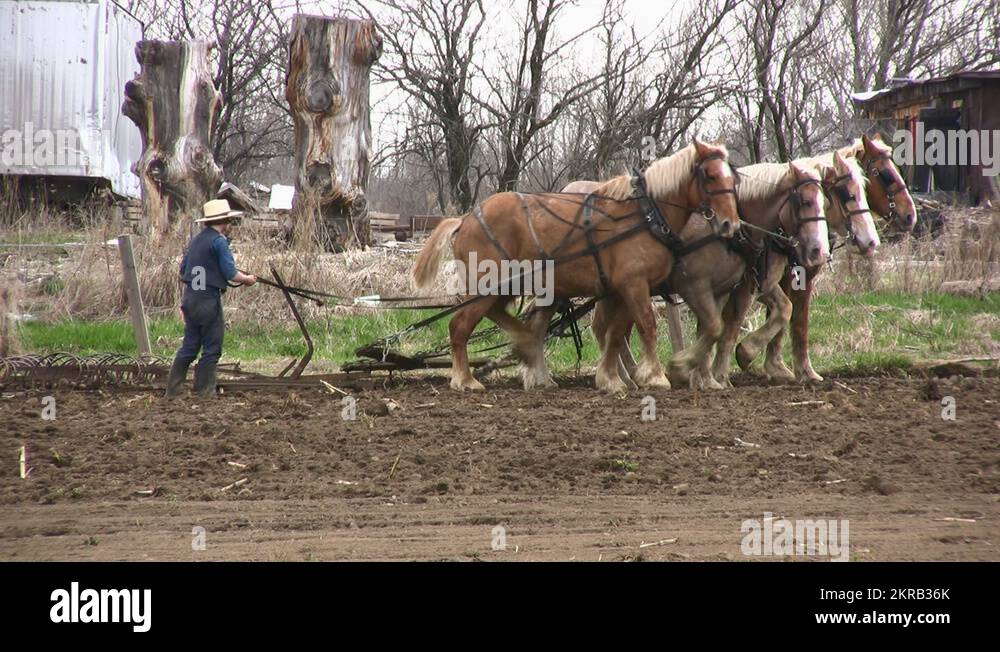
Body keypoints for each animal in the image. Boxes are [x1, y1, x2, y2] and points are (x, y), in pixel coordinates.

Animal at [411, 138, 741, 392]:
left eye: (732, 179)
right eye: (710, 176)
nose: (731, 224)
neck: (646, 215)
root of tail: (466, 218)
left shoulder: (621, 290)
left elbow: (615, 332)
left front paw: (610, 380)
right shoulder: (634, 284)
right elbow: (645, 326)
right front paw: (656, 376)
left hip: (508, 287)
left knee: (500, 316)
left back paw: (526, 346)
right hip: (487, 285)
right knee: (459, 326)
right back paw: (465, 379)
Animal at [590, 158, 832, 390]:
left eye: (825, 204)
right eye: (805, 202)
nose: (820, 251)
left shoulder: (739, 286)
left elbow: (776, 311)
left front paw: (706, 377)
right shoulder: (703, 286)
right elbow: (726, 328)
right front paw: (714, 368)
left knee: (608, 330)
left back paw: (623, 376)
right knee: (608, 330)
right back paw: (623, 377)